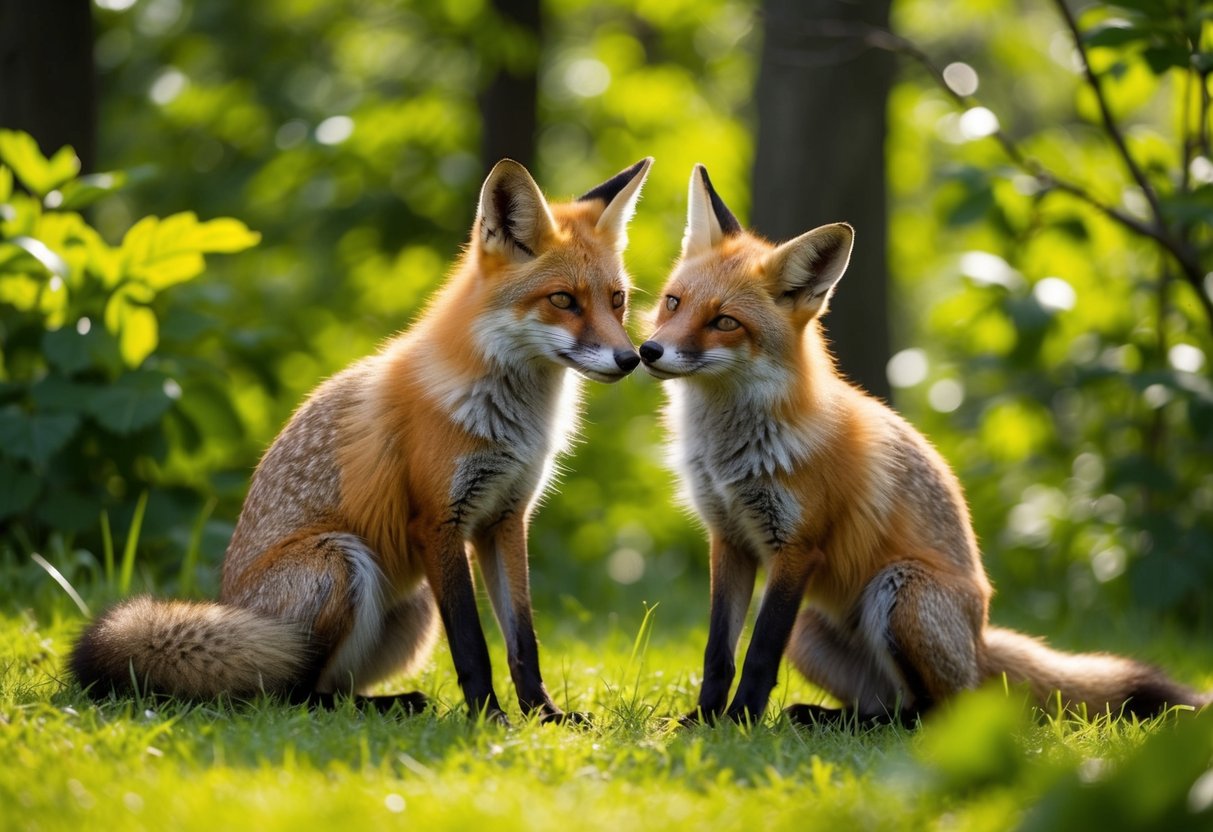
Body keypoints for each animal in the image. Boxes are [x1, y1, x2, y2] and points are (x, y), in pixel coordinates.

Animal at [70, 157, 654, 723]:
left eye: (617, 300)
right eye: (563, 300)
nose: (631, 359)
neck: (508, 416)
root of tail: (231, 604)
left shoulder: (505, 519)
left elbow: (522, 640)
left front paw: (543, 715)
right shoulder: (438, 521)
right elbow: (472, 645)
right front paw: (489, 719)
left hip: (414, 606)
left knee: (329, 686)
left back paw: (393, 704)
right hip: (342, 562)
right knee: (284, 695)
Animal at [639, 164, 1209, 726]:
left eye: (725, 322)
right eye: (673, 302)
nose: (648, 351)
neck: (729, 454)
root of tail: (980, 646)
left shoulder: (797, 548)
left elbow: (758, 653)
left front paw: (740, 723)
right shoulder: (729, 538)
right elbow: (718, 651)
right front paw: (704, 720)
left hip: (898, 592)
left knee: (934, 715)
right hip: (812, 631)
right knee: (888, 703)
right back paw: (823, 718)